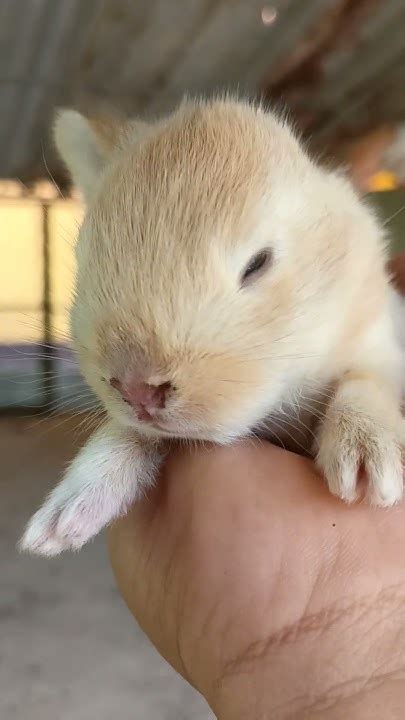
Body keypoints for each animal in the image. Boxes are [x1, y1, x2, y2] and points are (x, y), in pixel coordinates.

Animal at [20, 97, 405, 556]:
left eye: (258, 263)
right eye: (83, 258)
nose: (137, 390)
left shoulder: (379, 343)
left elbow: (365, 382)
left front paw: (365, 462)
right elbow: (131, 435)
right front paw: (64, 517)